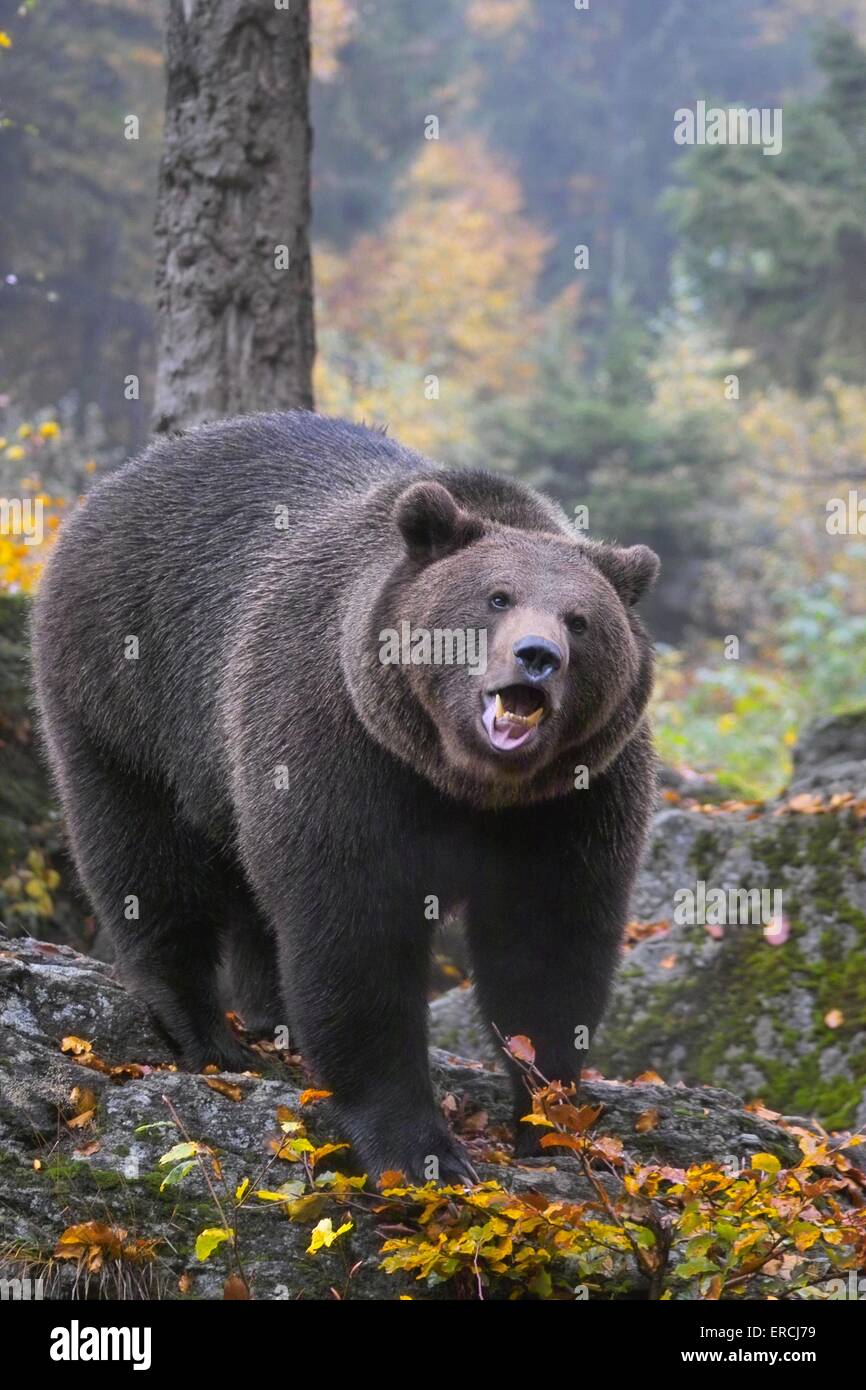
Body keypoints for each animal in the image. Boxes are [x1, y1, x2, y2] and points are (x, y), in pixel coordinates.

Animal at [31, 411, 659, 1184]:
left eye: (579, 618)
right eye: (497, 597)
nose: (537, 656)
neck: (466, 782)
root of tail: (123, 479)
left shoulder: (573, 800)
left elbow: (548, 948)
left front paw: (548, 1121)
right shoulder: (343, 752)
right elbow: (354, 939)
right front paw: (423, 1148)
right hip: (126, 691)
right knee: (142, 853)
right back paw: (205, 1032)